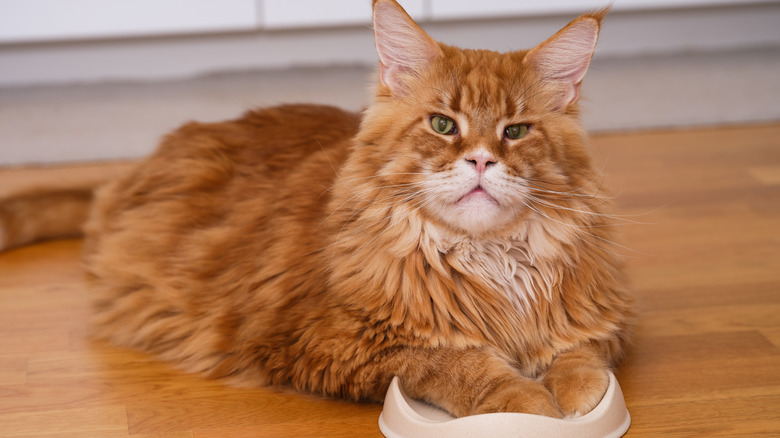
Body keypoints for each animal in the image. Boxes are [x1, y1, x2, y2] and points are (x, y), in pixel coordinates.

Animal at [1, 0, 632, 418]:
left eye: (516, 131)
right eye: (442, 124)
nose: (480, 160)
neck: (489, 259)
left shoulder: (598, 316)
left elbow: (582, 354)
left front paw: (582, 399)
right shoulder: (330, 343)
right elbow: (452, 361)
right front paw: (527, 401)